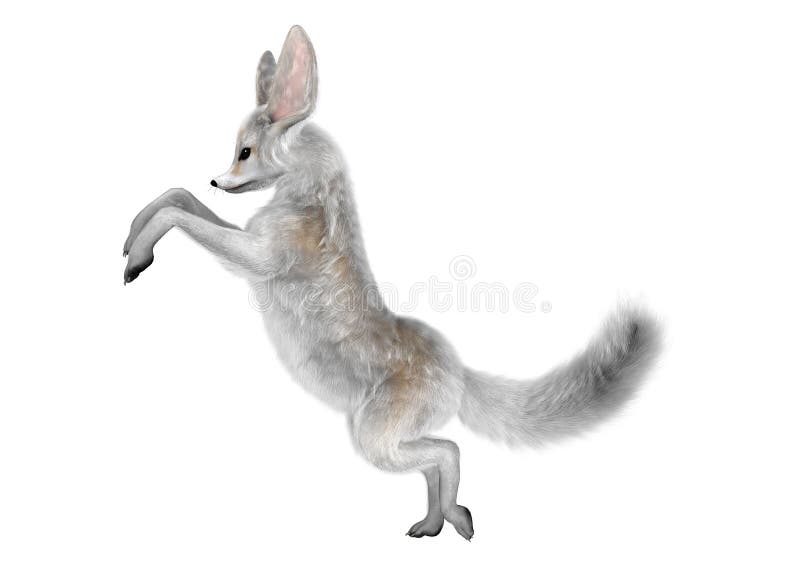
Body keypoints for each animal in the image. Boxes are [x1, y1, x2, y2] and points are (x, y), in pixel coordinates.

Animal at [123, 25, 662, 540]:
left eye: (244, 152)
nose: (217, 180)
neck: (308, 197)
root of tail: (458, 371)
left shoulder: (257, 258)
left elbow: (177, 214)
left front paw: (139, 254)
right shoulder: (243, 237)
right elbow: (176, 197)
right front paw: (132, 237)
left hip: (372, 440)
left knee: (449, 451)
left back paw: (454, 517)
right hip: (386, 440)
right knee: (437, 461)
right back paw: (435, 523)